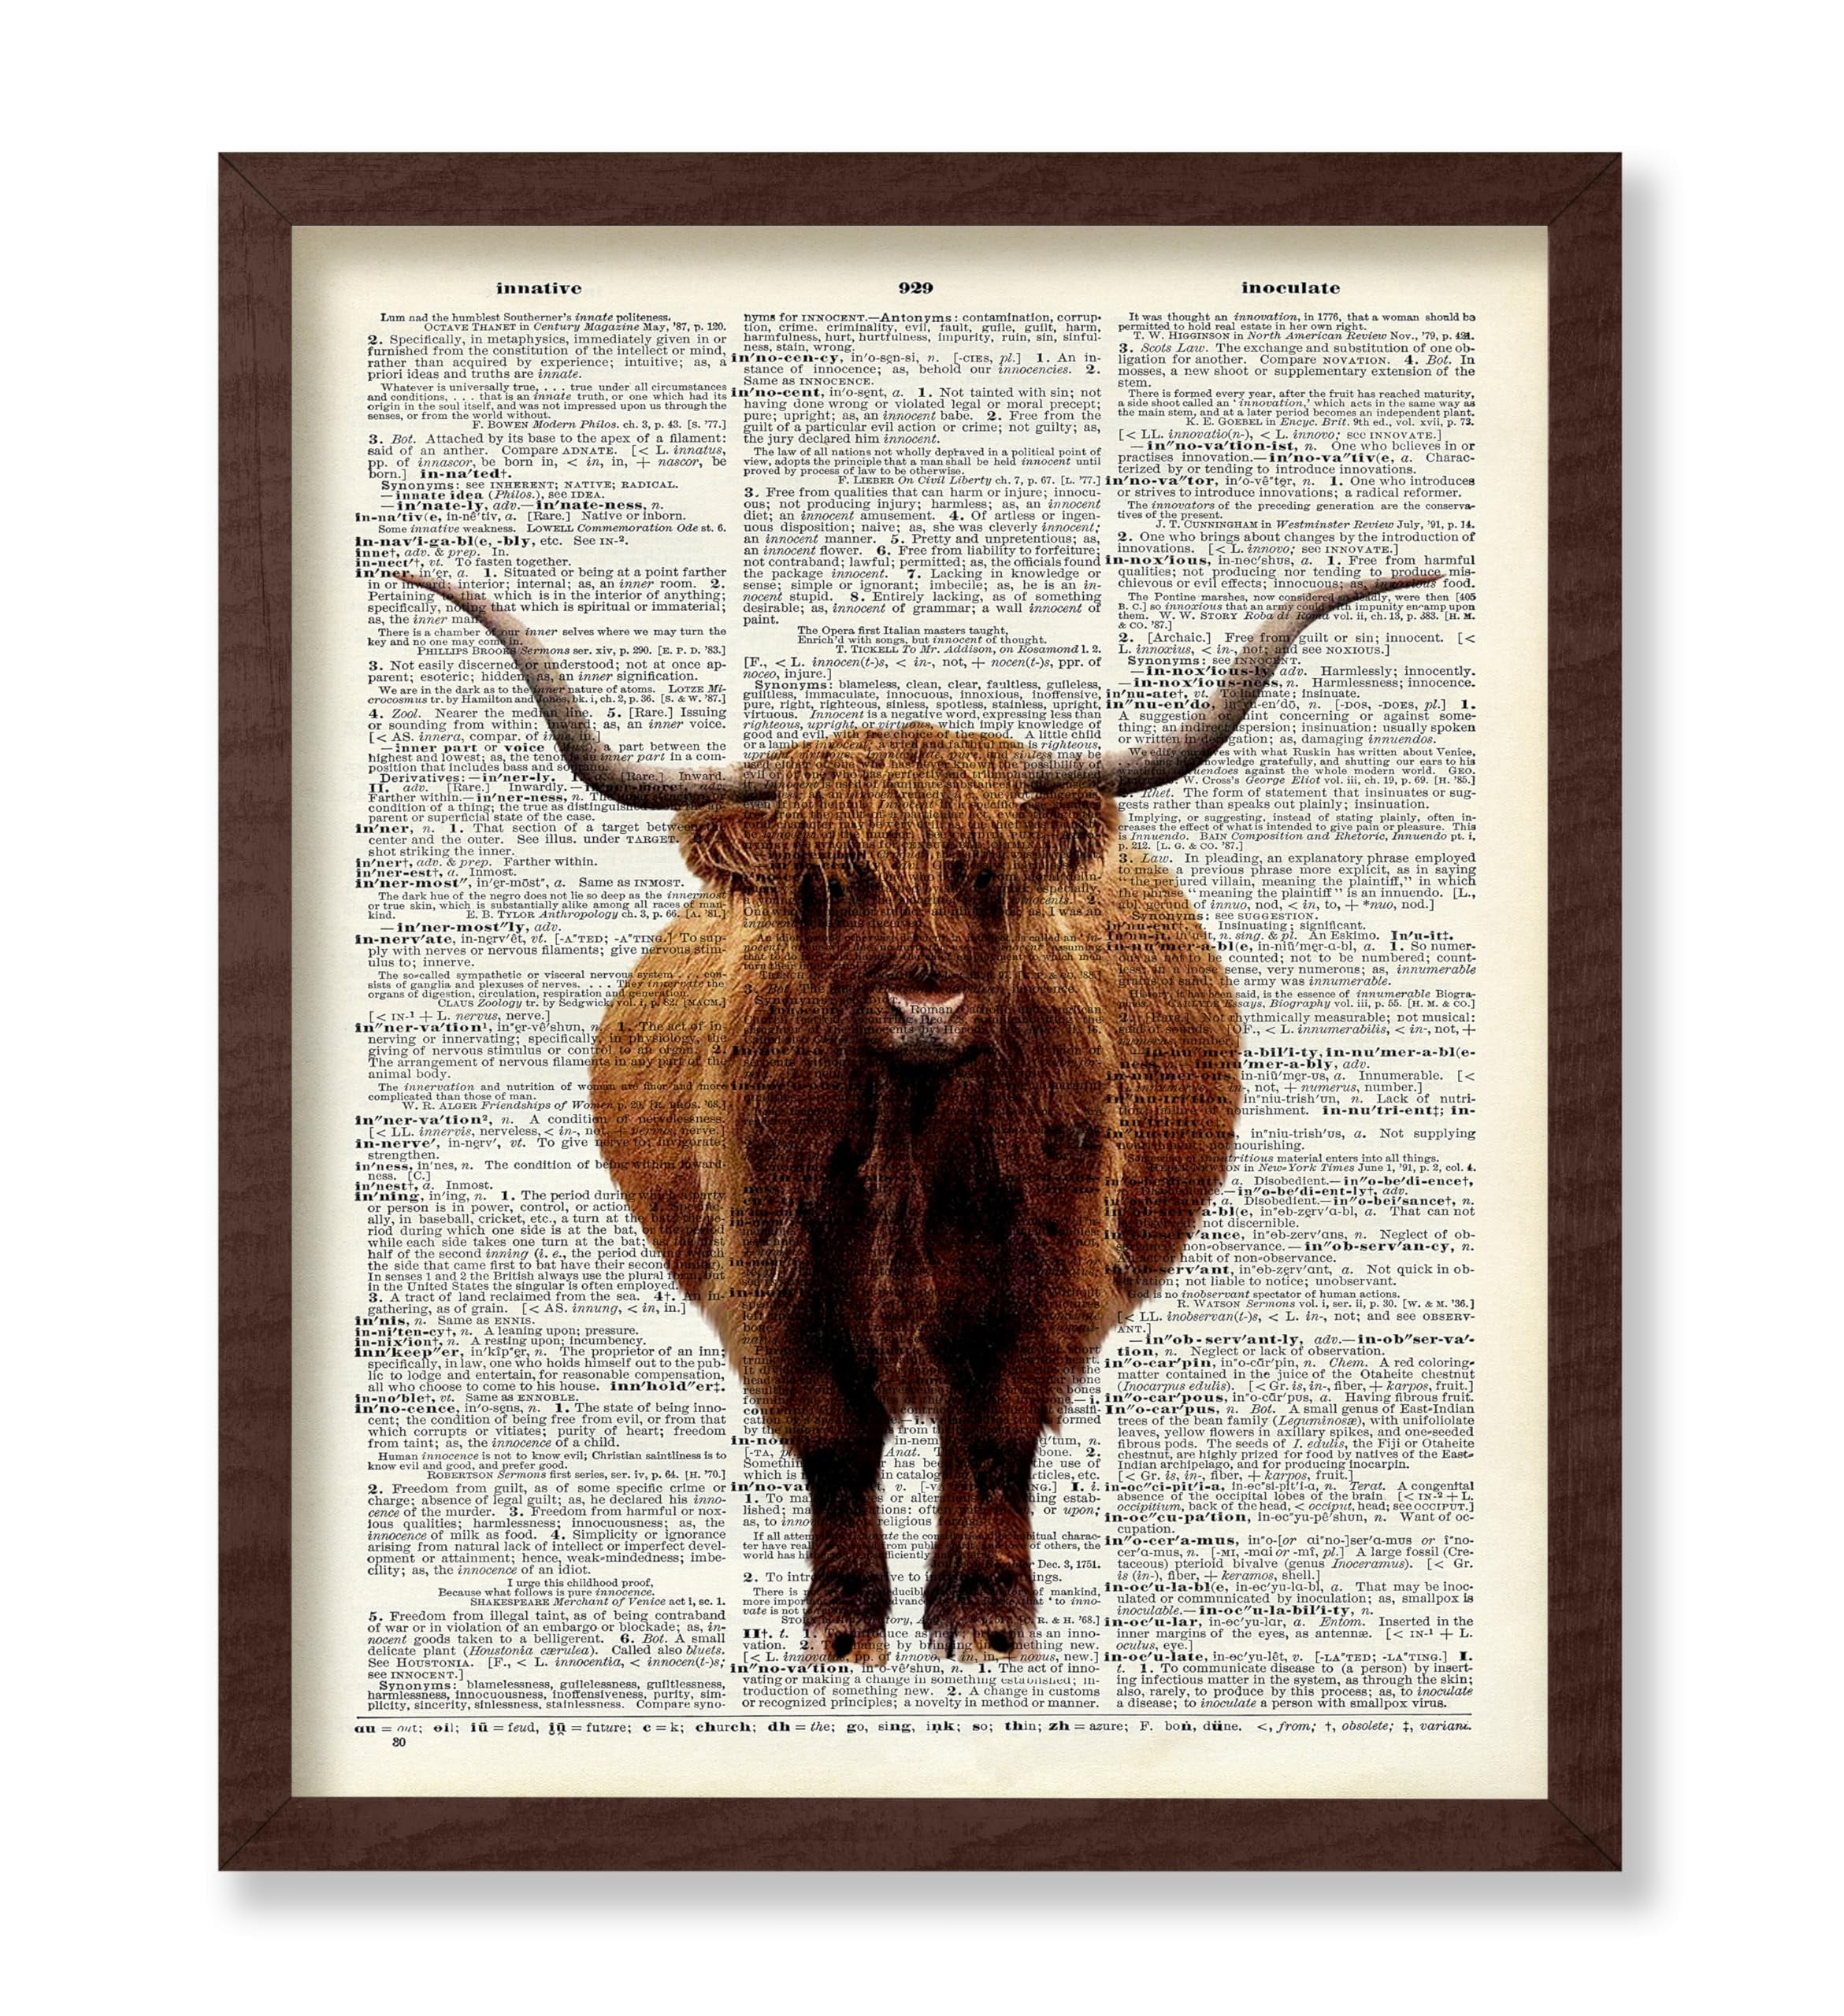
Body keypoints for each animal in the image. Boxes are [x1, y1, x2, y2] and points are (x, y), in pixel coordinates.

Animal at [396, 568, 1437, 1664]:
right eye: (829, 883)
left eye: (986, 874)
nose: (925, 1009)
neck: (910, 1130)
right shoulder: (778, 1284)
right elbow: (836, 1447)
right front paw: (844, 1627)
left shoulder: (1046, 1276)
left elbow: (993, 1438)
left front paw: (988, 1622)